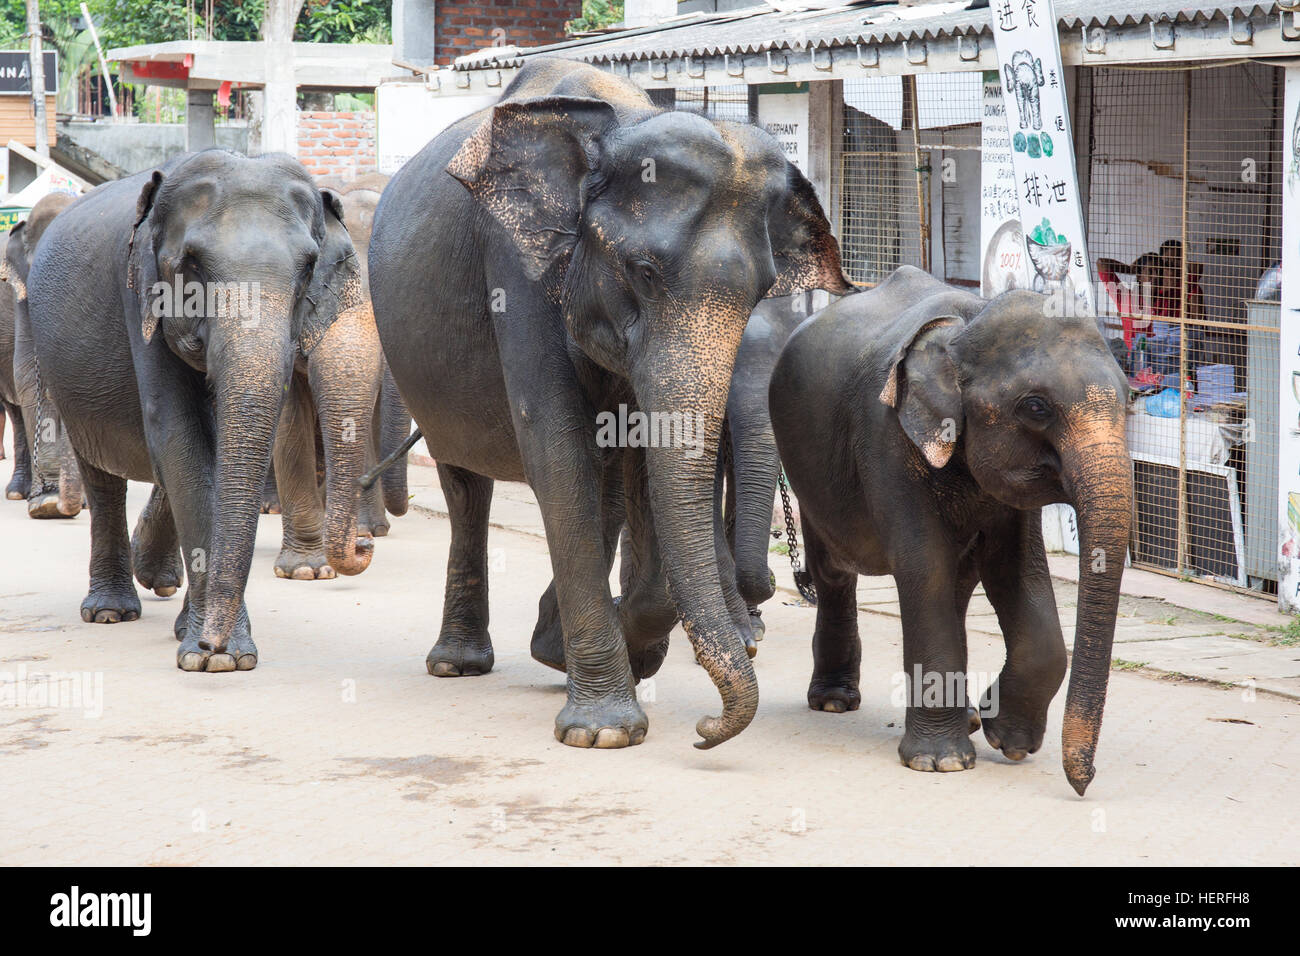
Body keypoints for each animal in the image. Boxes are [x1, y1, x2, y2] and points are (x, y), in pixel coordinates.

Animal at [27, 149, 379, 672]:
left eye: (308, 267)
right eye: (191, 264)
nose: (365, 543)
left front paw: (212, 650)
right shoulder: (140, 295)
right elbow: (179, 436)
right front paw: (216, 658)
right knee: (103, 476)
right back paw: (110, 611)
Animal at [369, 58, 852, 750]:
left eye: (763, 289)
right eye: (644, 272)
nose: (706, 730)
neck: (620, 125)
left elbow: (642, 460)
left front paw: (610, 656)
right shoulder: (515, 266)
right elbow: (558, 451)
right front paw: (603, 730)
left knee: (606, 488)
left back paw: (554, 648)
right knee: (466, 483)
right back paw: (458, 664)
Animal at [769, 266, 1131, 795]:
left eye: (1131, 399)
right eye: (1036, 407)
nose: (1084, 785)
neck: (966, 324)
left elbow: (1017, 573)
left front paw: (1008, 740)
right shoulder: (887, 437)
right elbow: (924, 567)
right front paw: (941, 763)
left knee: (960, 584)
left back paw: (968, 720)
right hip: (806, 469)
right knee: (834, 571)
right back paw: (835, 702)